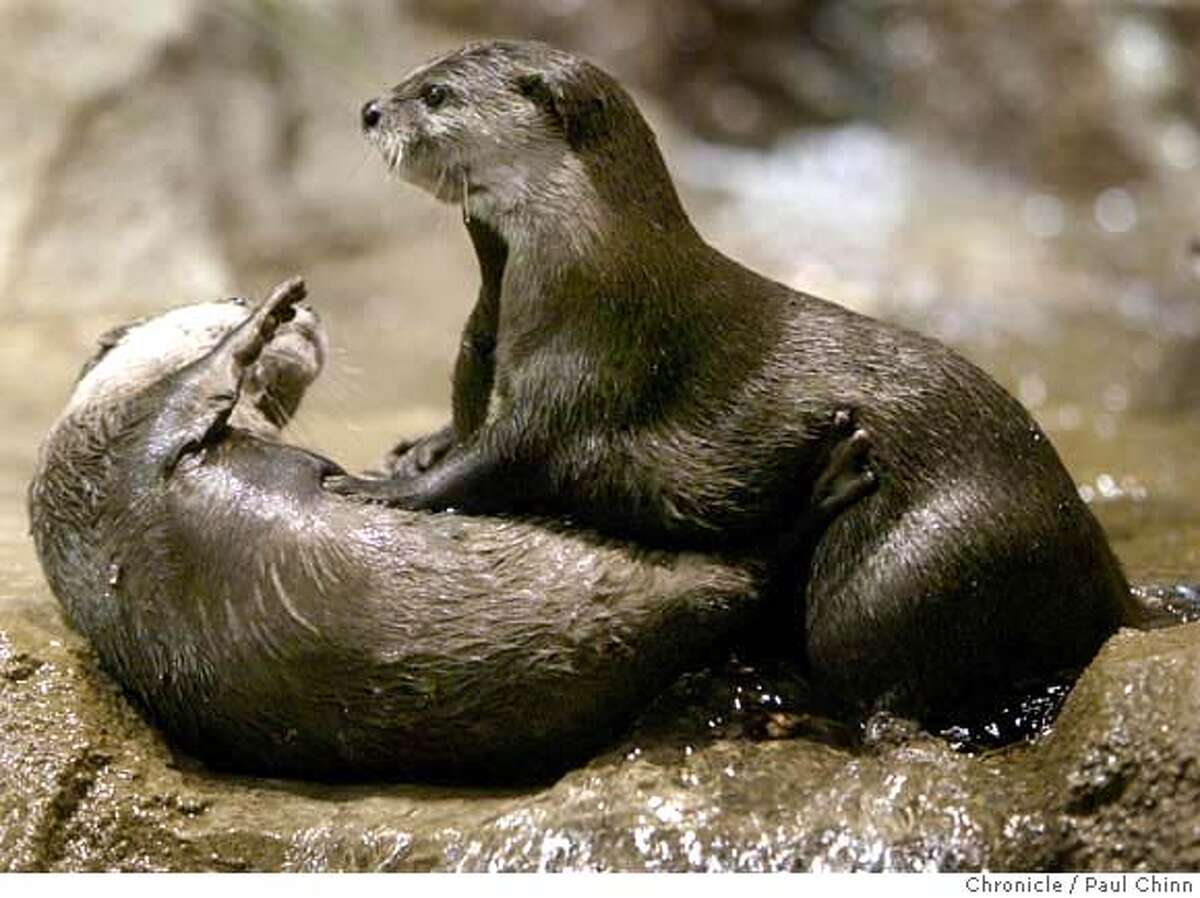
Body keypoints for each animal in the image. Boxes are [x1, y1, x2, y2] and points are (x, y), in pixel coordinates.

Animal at [28, 278, 870, 782]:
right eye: (222, 292)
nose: (309, 313)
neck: (83, 446)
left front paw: (415, 449)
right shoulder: (135, 442)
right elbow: (198, 381)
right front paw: (265, 312)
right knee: (755, 568)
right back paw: (835, 474)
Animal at [329, 40, 1137, 716]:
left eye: (436, 93)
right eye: (414, 72)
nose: (369, 109)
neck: (582, 273)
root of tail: (1104, 576)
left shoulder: (591, 366)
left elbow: (501, 457)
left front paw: (374, 488)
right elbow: (468, 433)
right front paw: (418, 446)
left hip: (921, 560)